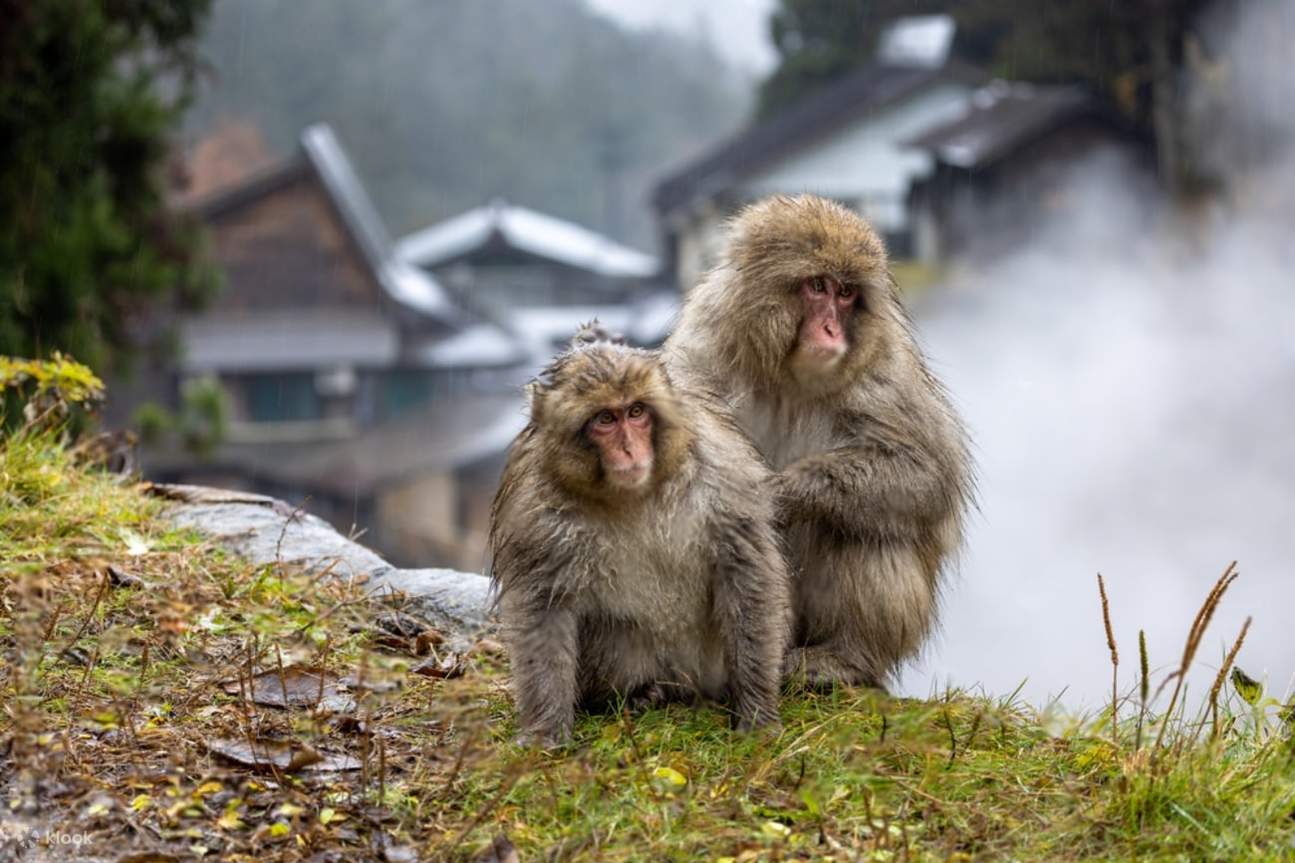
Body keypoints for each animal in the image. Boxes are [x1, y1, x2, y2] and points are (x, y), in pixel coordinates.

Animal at [488, 327, 790, 747]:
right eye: (605, 419)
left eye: (635, 412)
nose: (630, 449)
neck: (634, 494)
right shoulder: (536, 509)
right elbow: (544, 605)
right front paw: (545, 731)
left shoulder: (722, 474)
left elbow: (745, 571)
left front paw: (757, 713)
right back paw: (637, 694)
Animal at [663, 194, 974, 691]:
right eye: (818, 286)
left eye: (845, 294)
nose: (832, 330)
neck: (784, 375)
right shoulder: (702, 342)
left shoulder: (883, 368)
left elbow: (927, 475)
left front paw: (783, 494)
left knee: (863, 526)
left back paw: (843, 658)